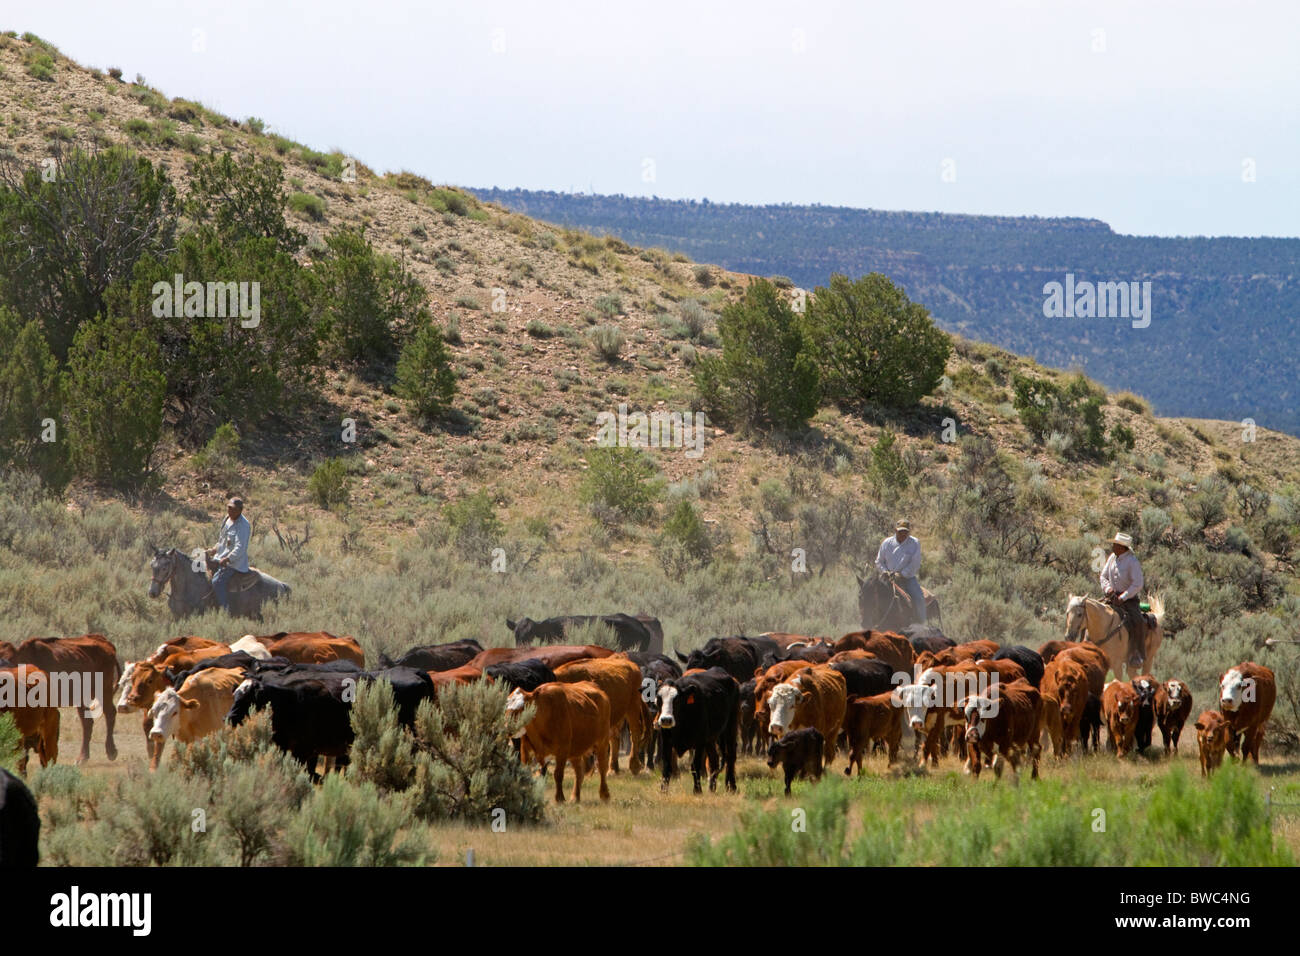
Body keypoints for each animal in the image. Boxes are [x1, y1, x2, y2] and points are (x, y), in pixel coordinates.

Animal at [11, 635, 120, 763]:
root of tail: (103, 640)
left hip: (104, 690)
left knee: (110, 713)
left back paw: (111, 751)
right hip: (82, 699)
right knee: (87, 723)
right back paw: (83, 757)